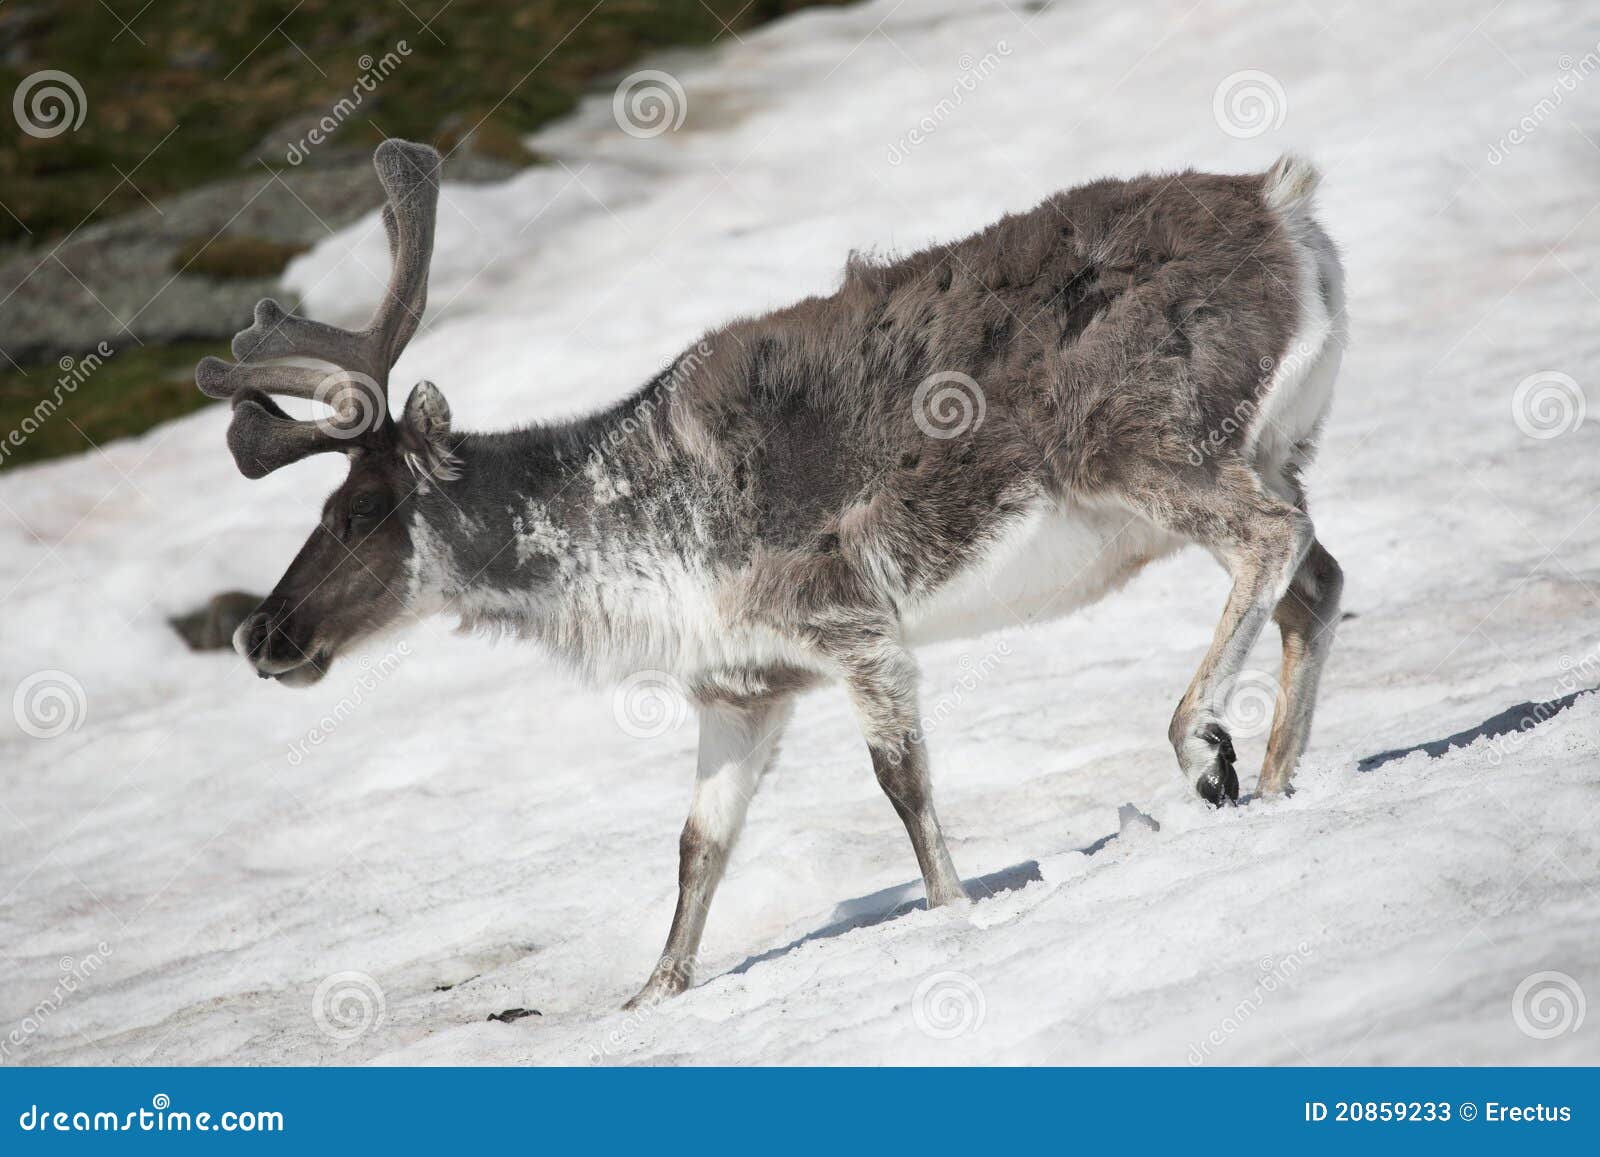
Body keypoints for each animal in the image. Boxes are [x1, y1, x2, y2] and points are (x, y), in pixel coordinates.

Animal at [197, 139, 1346, 1009]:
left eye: (353, 511)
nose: (262, 635)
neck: (639, 545)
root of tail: (1287, 208)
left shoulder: (854, 625)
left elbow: (901, 784)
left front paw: (952, 914)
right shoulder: (739, 684)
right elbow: (698, 843)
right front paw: (650, 994)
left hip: (1143, 447)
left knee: (1268, 537)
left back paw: (1203, 749)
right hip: (1274, 445)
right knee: (1317, 577)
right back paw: (1276, 781)